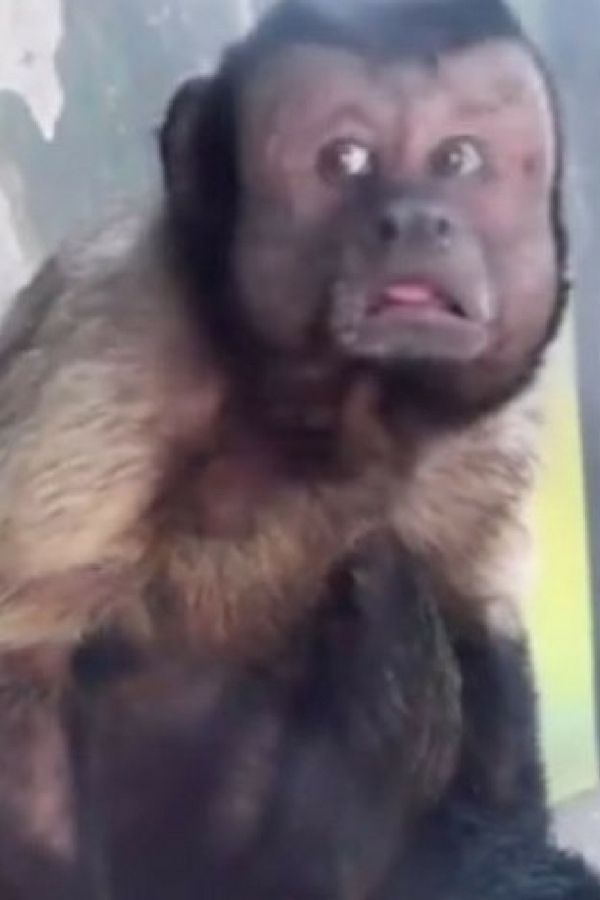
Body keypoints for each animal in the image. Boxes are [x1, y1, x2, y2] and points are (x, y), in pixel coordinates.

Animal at [0, 0, 597, 896]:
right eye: (344, 159)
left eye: (458, 159)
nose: (414, 219)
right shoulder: (115, 346)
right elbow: (26, 661)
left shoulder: (487, 420)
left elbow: (476, 616)